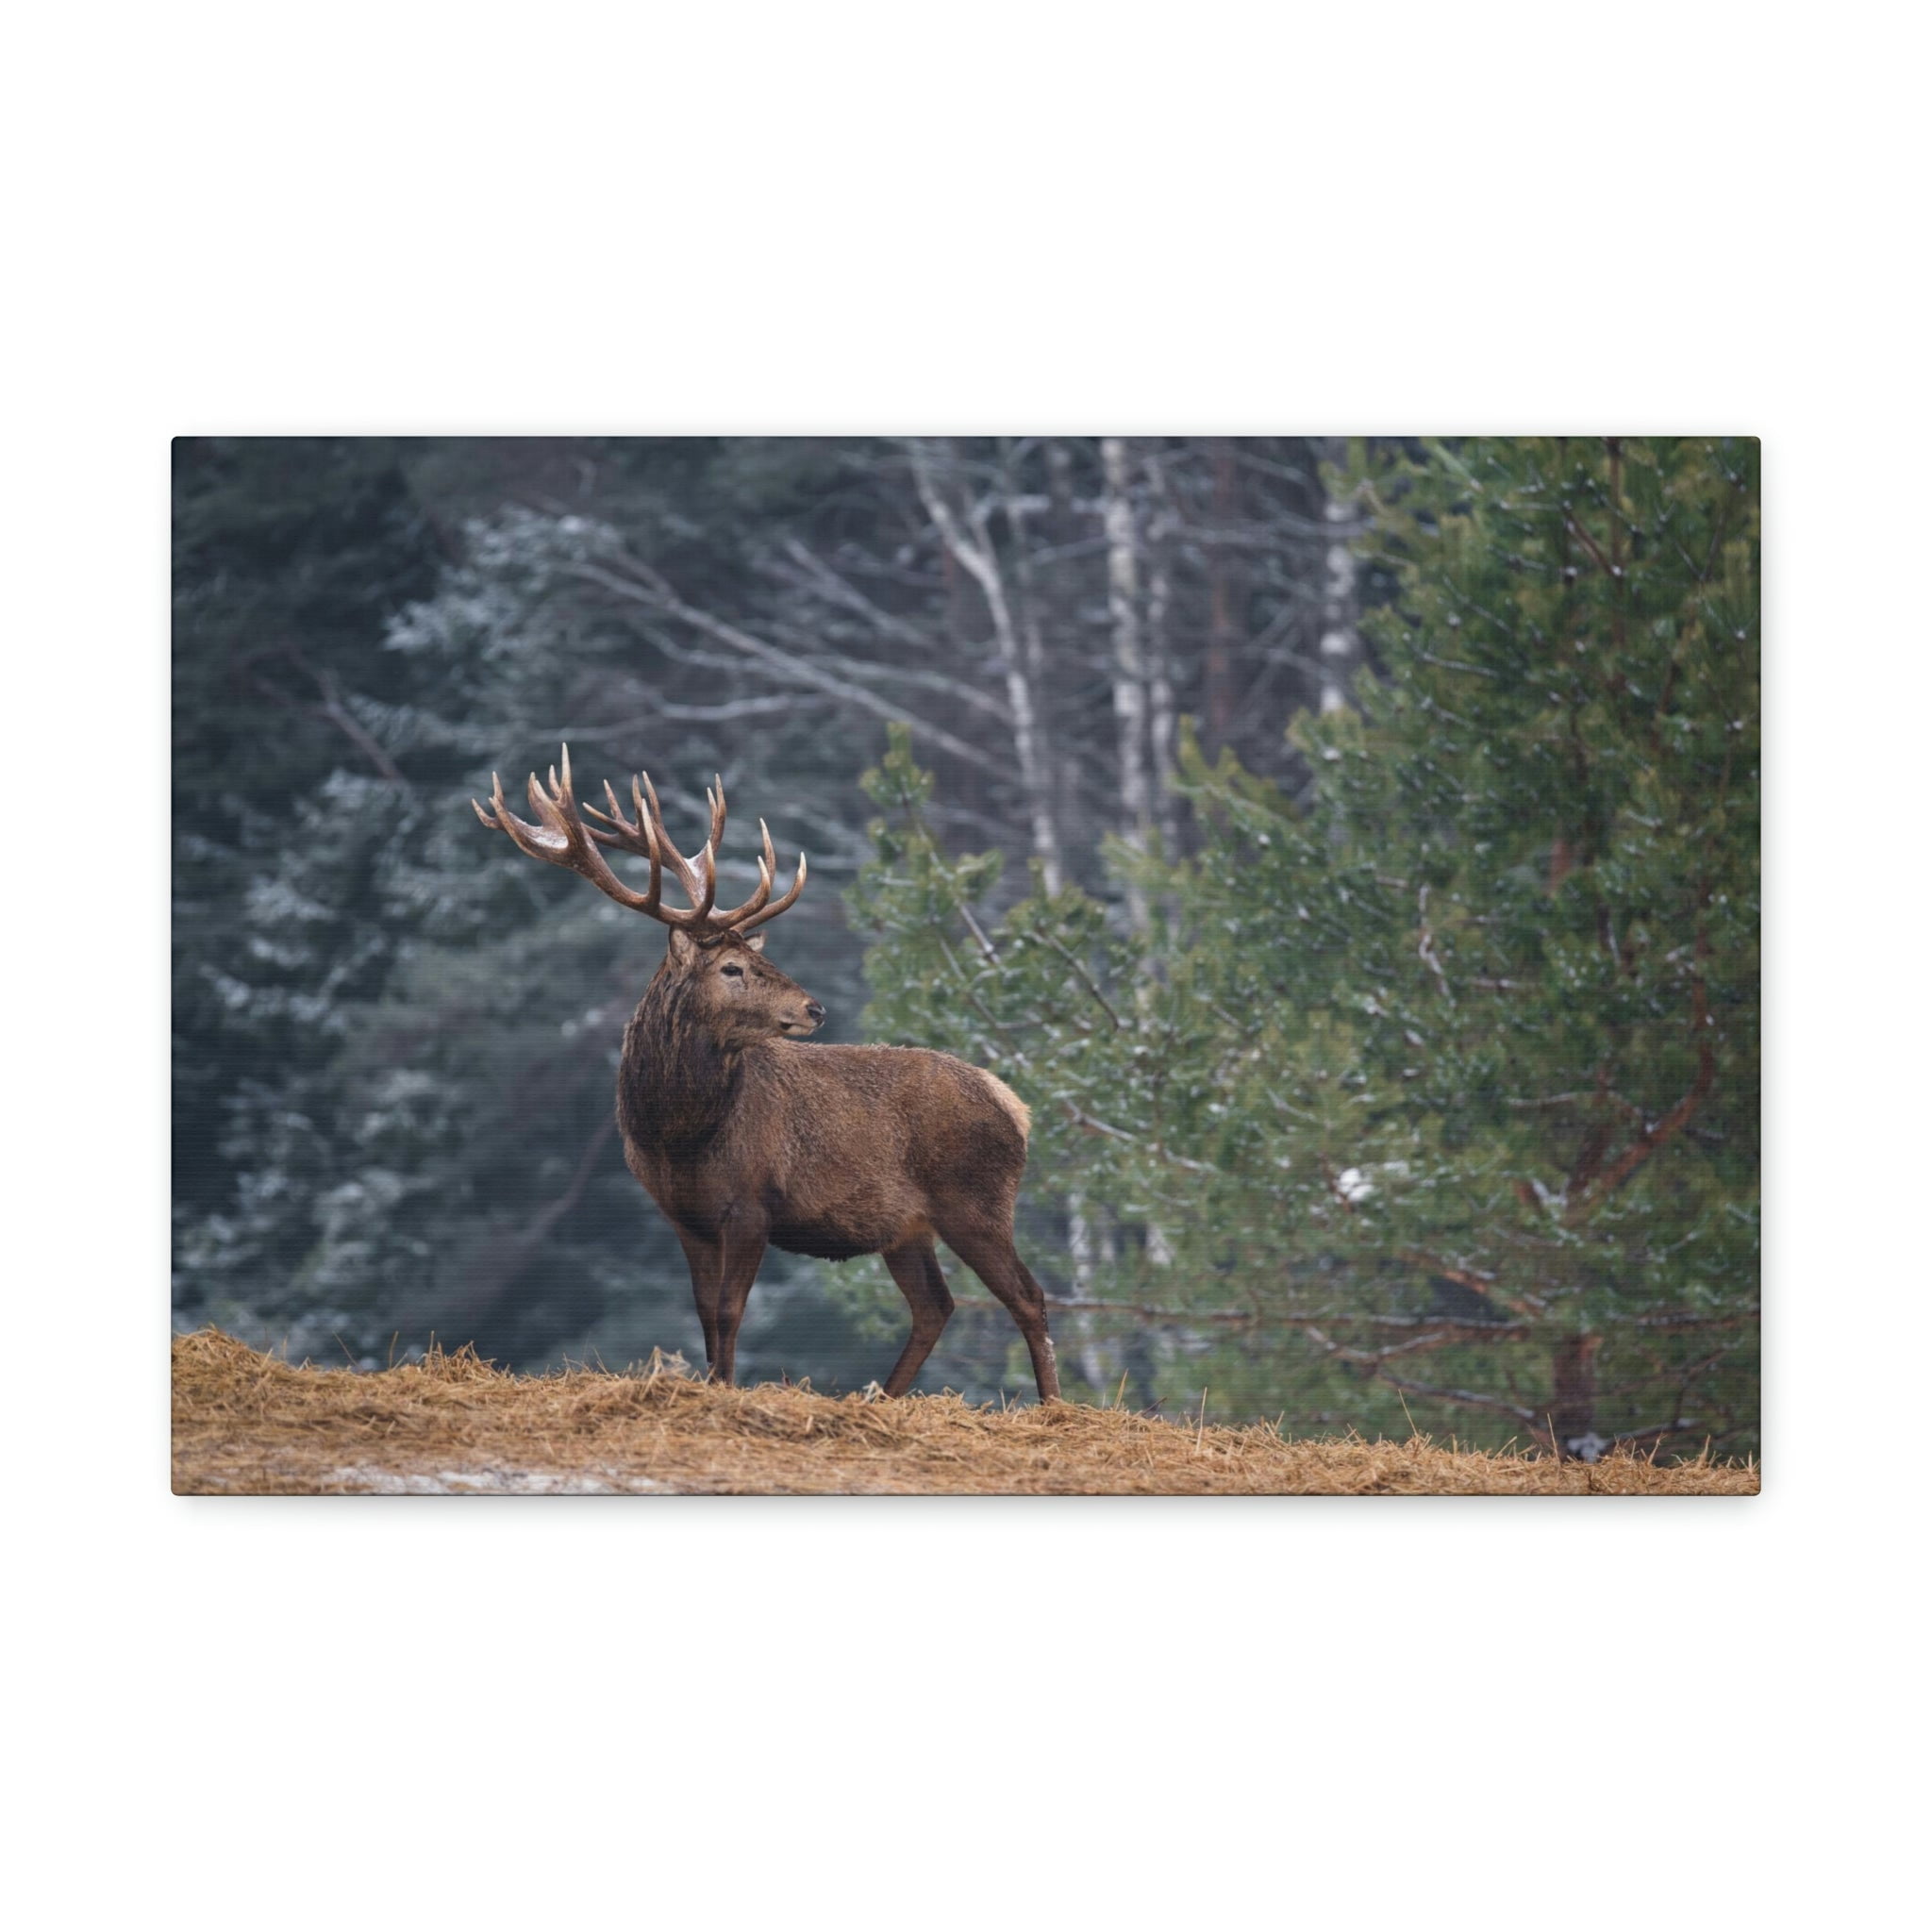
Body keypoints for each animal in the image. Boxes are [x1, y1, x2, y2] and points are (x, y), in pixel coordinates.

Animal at [473, 746, 1061, 1402]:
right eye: (732, 968)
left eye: (757, 958)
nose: (815, 1008)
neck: (677, 1136)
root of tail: (1015, 1105)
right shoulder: (685, 1216)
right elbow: (705, 1314)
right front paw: (711, 1385)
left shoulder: (752, 1203)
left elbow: (731, 1311)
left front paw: (726, 1388)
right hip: (907, 1227)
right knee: (935, 1305)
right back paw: (881, 1396)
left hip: (975, 1200)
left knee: (1028, 1296)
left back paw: (1052, 1407)